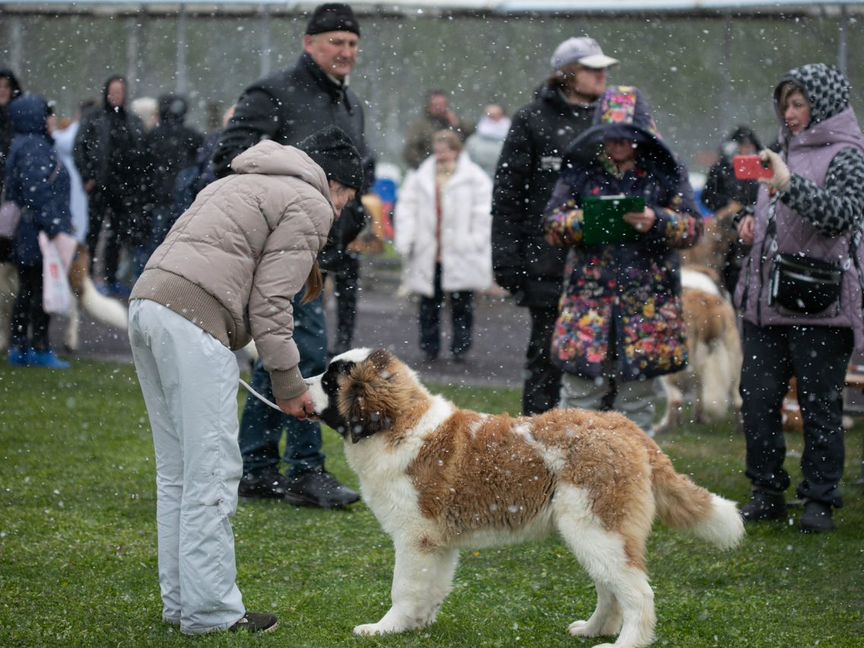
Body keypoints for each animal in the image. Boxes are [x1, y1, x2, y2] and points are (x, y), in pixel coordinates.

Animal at [306, 350, 744, 648]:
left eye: (329, 381)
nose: (301, 383)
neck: (400, 426)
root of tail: (625, 427)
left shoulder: (416, 538)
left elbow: (404, 587)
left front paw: (385, 628)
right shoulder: (438, 542)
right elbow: (431, 586)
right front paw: (417, 623)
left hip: (597, 527)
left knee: (638, 593)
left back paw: (624, 644)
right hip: (592, 534)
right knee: (611, 588)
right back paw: (593, 629)